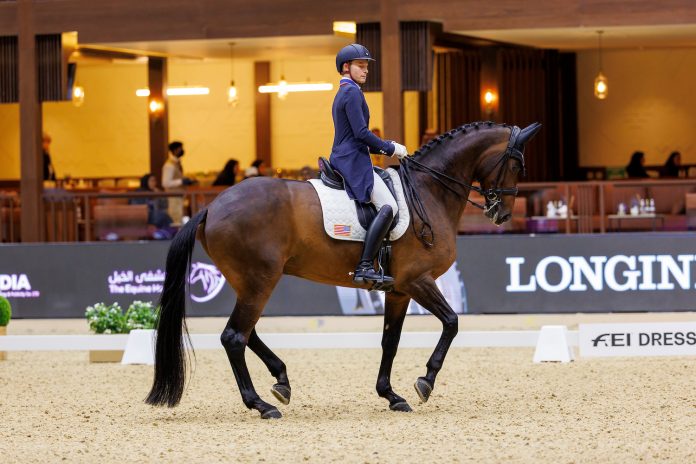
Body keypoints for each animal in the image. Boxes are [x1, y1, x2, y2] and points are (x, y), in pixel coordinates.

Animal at [146, 121, 542, 419]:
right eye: (516, 165)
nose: (502, 214)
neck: (429, 191)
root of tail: (211, 207)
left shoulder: (399, 290)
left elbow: (390, 341)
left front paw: (391, 395)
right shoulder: (419, 281)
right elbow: (452, 322)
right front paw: (425, 381)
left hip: (249, 282)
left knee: (244, 332)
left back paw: (281, 381)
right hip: (260, 280)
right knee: (234, 337)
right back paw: (261, 404)